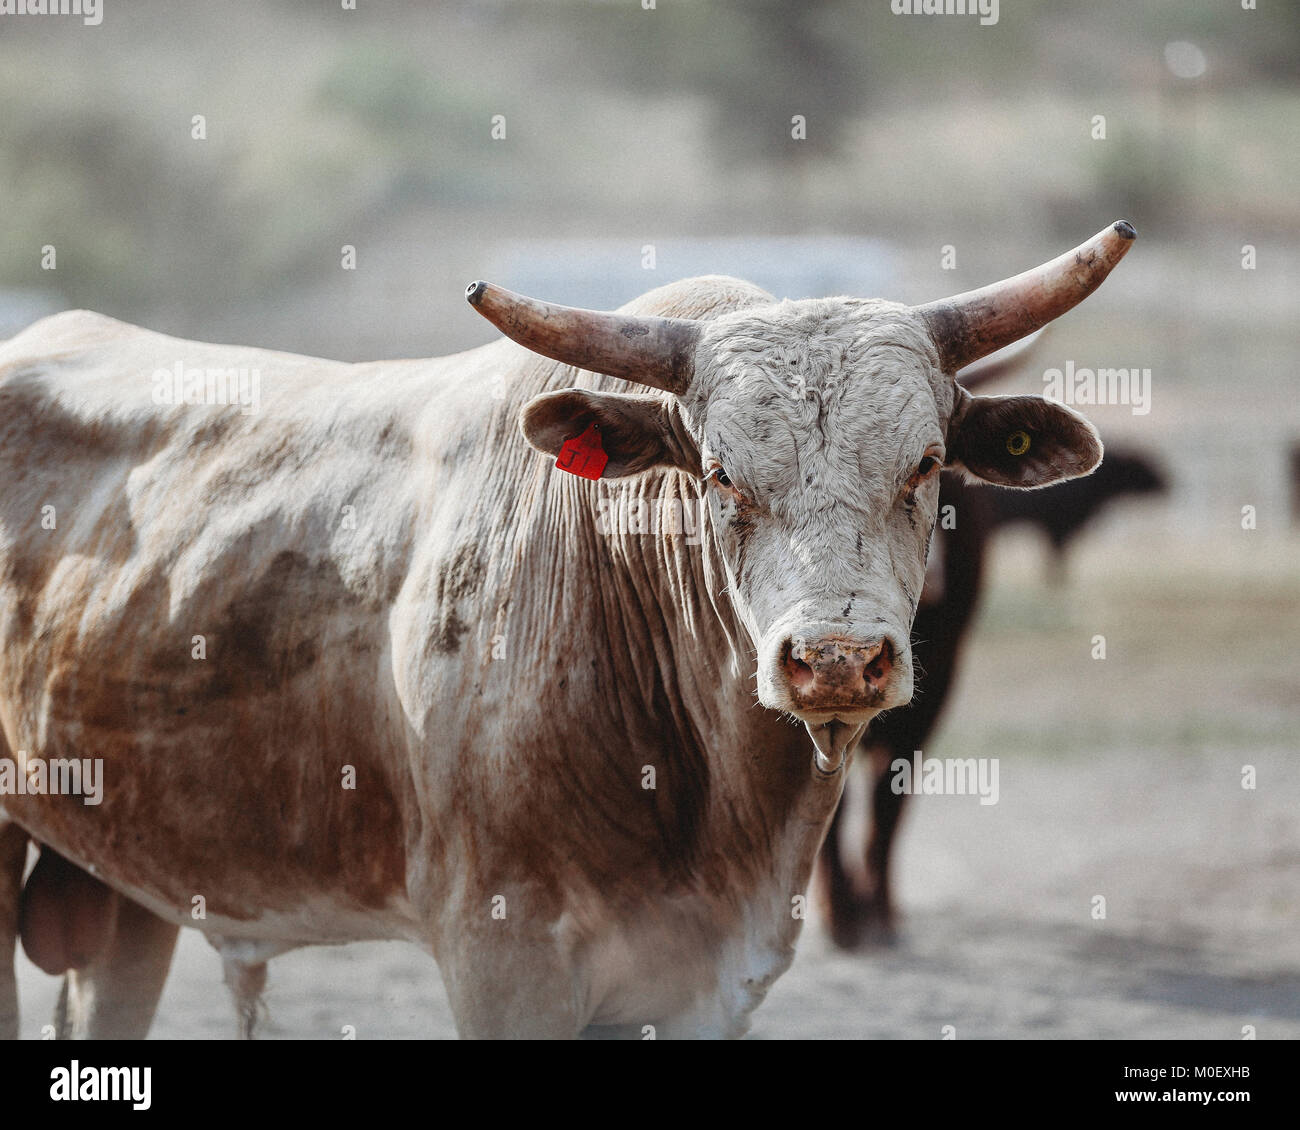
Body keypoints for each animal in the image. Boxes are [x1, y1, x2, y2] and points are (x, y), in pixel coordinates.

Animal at [0, 222, 1135, 1039]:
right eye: (720, 474)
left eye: (927, 463)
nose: (837, 658)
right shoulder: (506, 960)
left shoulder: (708, 983)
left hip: (127, 875)